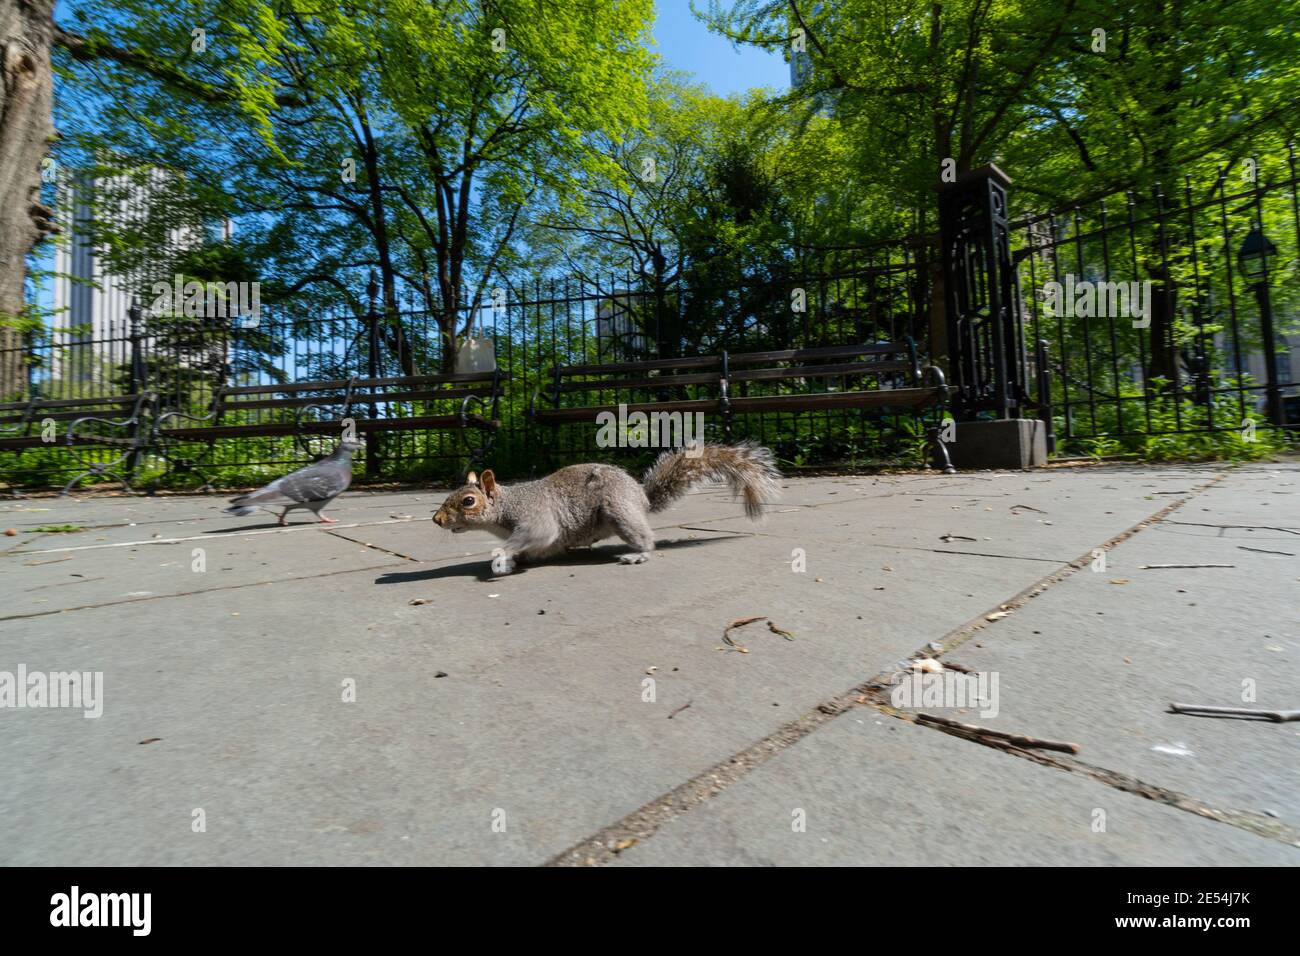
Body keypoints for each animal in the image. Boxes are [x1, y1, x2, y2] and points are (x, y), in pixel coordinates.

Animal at [432, 442, 781, 575]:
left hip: (619, 512)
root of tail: (641, 498)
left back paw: (637, 554)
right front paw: (514, 560)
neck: (508, 503)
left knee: (645, 538)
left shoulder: (535, 518)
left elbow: (536, 535)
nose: (436, 519)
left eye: (468, 501)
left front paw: (503, 555)